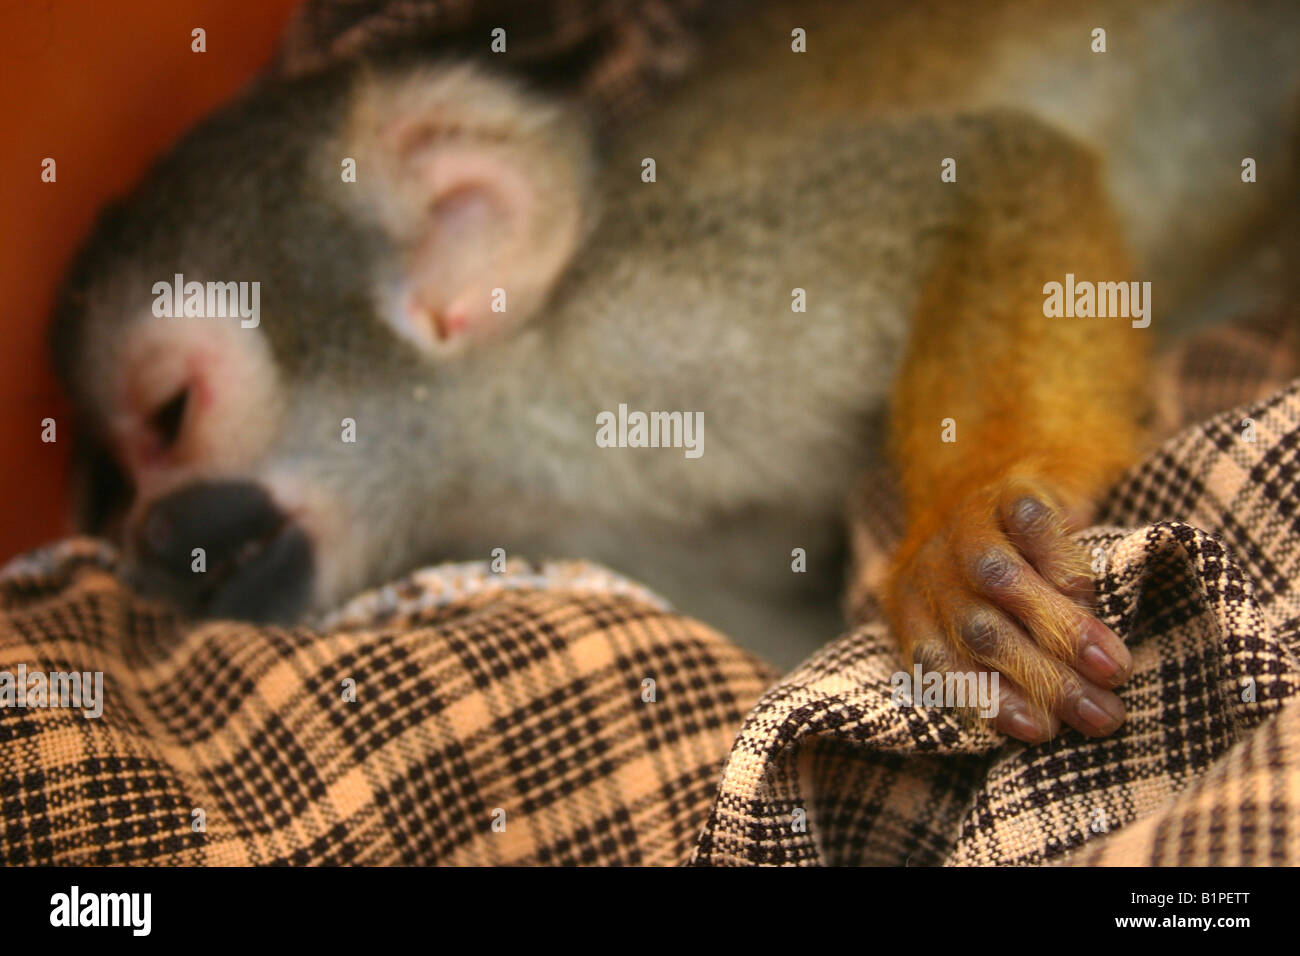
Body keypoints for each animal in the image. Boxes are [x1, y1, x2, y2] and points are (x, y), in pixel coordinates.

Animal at [49, 0, 1300, 745]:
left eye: (170, 416)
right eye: (118, 472)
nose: (149, 539)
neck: (520, 434)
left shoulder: (654, 314)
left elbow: (996, 167)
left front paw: (965, 520)